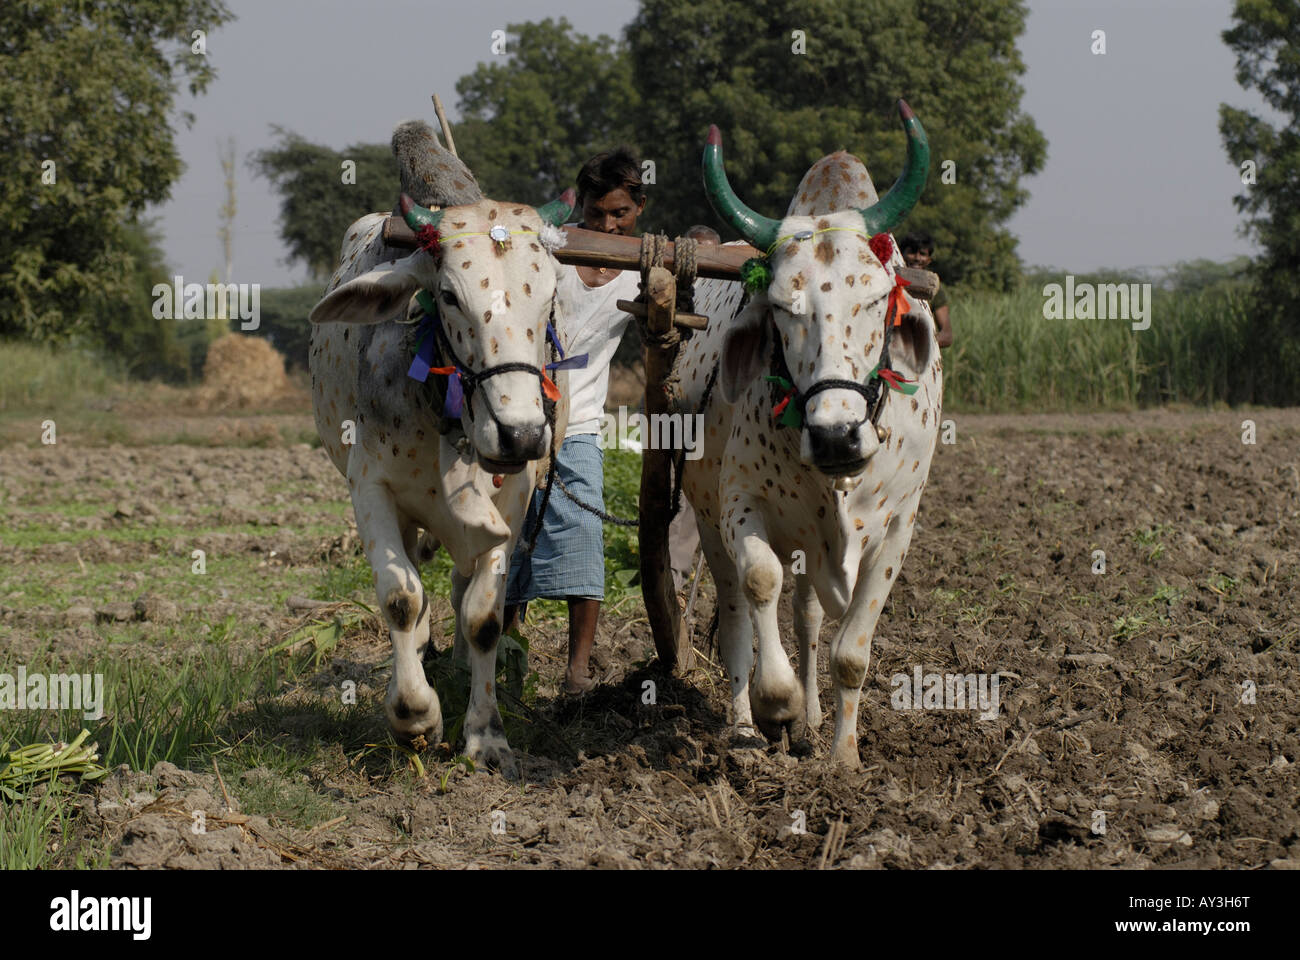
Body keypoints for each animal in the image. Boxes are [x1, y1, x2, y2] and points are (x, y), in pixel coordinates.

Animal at [308, 122, 576, 777]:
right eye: (450, 297)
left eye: (549, 298)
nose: (521, 433)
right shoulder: (370, 489)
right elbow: (402, 599)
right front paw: (414, 716)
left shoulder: (513, 503)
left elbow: (483, 617)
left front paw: (486, 734)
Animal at [677, 100, 942, 767]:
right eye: (780, 306)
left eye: (876, 299)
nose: (836, 437)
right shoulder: (740, 504)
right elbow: (758, 584)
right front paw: (776, 703)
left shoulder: (898, 528)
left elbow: (849, 651)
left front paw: (842, 758)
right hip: (707, 515)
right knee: (737, 612)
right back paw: (747, 728)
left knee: (808, 618)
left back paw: (815, 720)